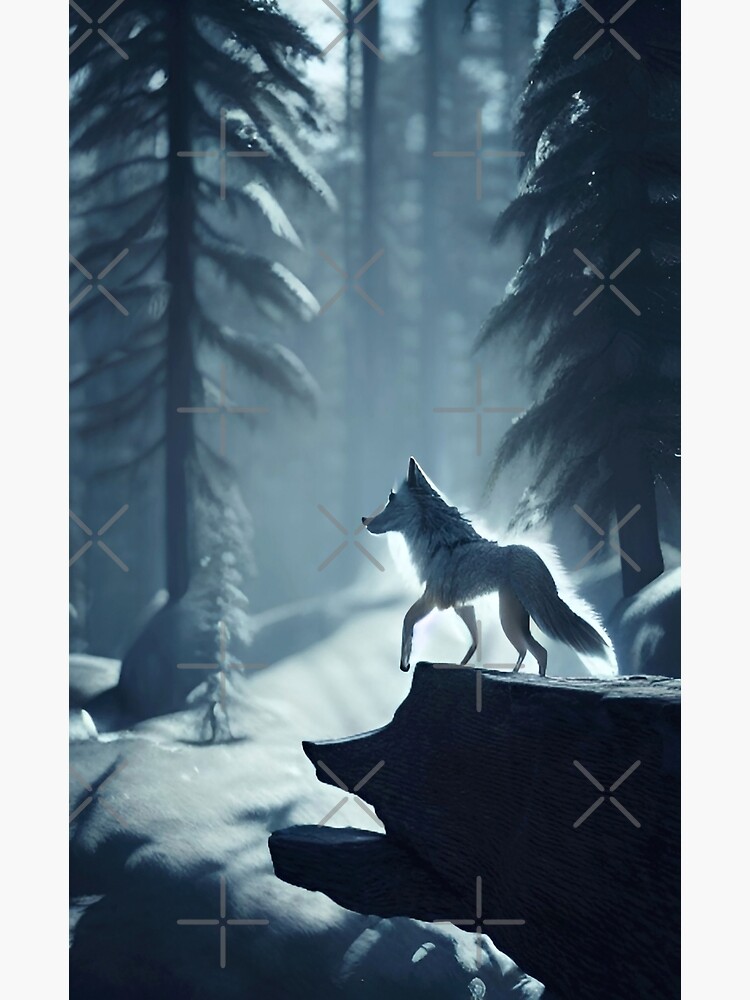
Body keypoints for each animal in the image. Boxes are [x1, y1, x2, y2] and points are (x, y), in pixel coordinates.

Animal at [362, 458, 612, 675]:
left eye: (391, 498)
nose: (364, 519)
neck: (440, 541)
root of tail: (533, 557)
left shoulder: (432, 598)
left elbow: (407, 620)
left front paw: (405, 662)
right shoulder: (463, 606)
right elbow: (474, 642)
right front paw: (459, 664)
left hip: (508, 621)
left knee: (536, 651)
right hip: (513, 621)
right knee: (534, 651)